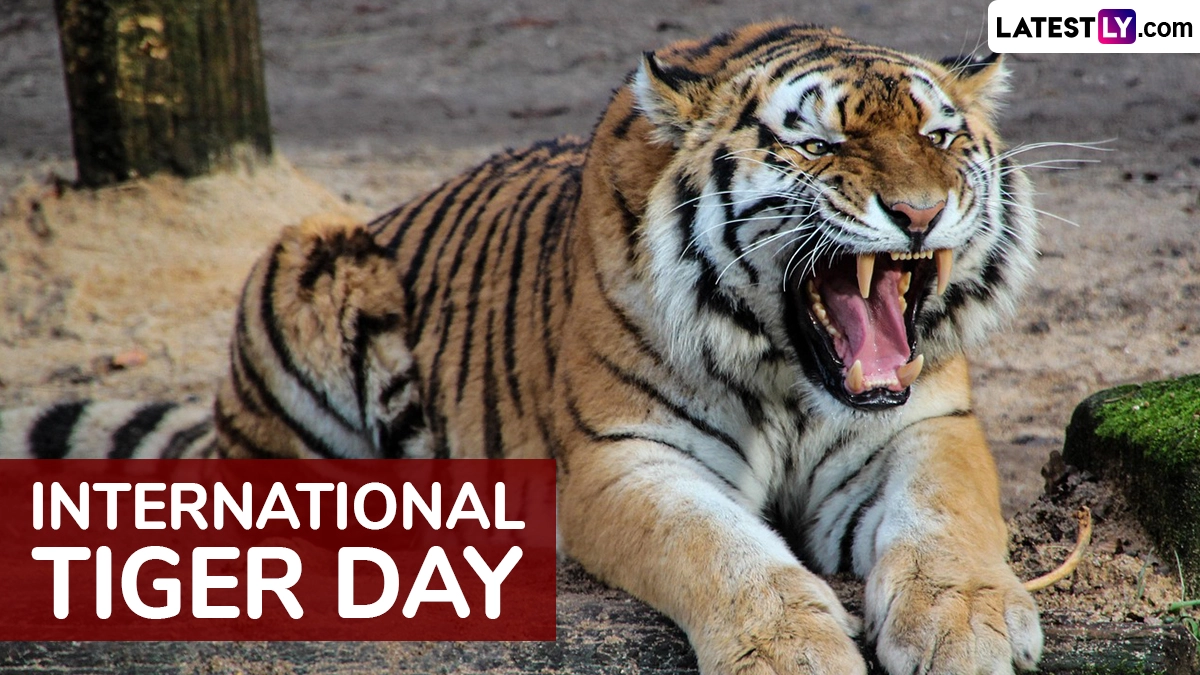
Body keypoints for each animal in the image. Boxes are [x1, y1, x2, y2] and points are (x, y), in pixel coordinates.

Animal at [2, 21, 1045, 675]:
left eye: (941, 138)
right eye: (819, 146)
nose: (919, 213)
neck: (791, 373)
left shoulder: (923, 424)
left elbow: (948, 517)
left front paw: (969, 624)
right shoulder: (623, 459)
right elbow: (720, 549)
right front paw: (793, 650)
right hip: (305, 253)